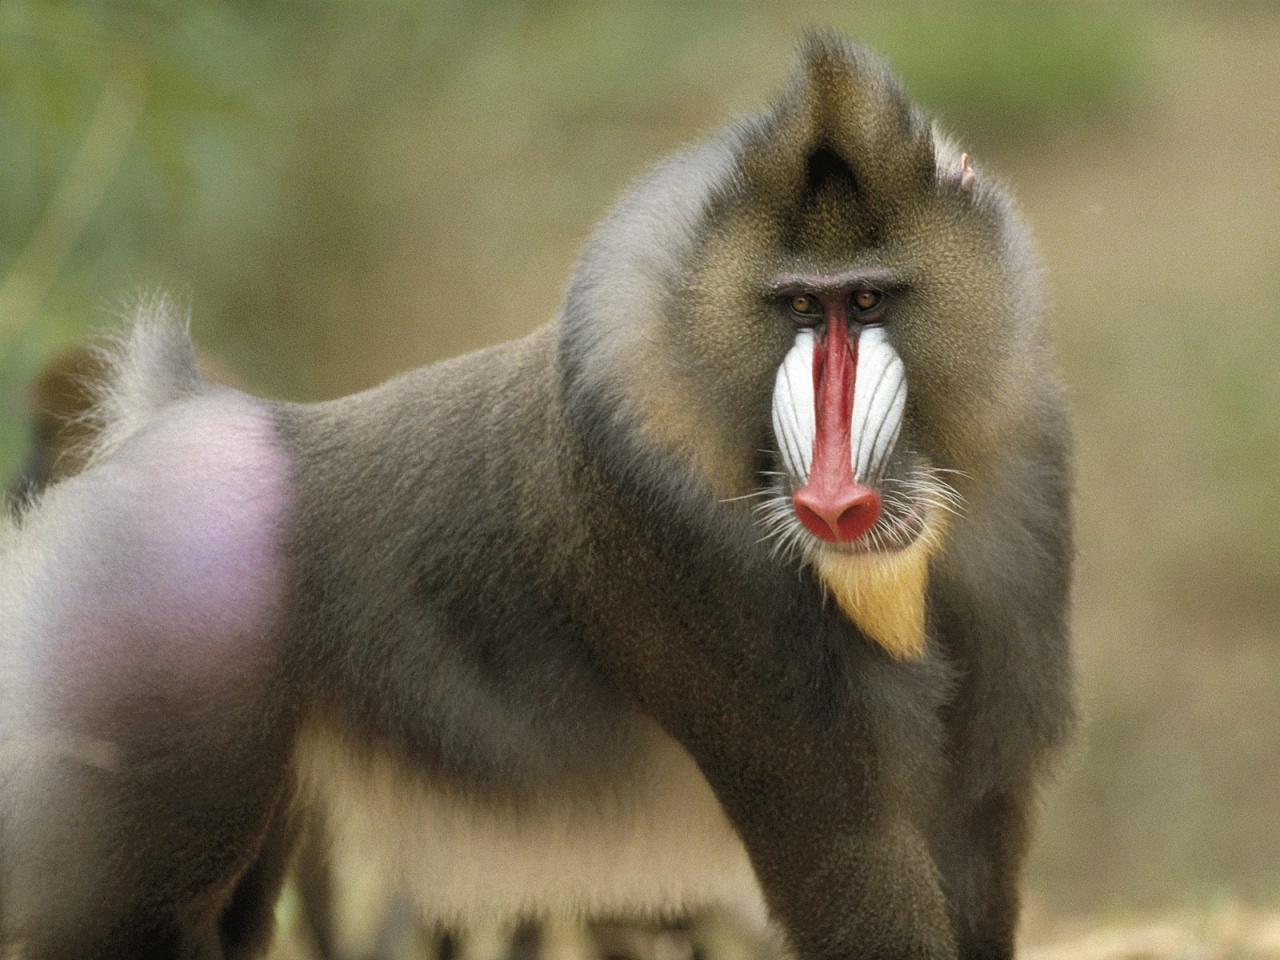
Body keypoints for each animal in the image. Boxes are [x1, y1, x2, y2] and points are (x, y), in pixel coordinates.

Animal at [0, 34, 1074, 960]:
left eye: (872, 300)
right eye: (802, 307)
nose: (835, 502)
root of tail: (179, 421)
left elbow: (974, 831)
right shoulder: (709, 603)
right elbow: (850, 856)